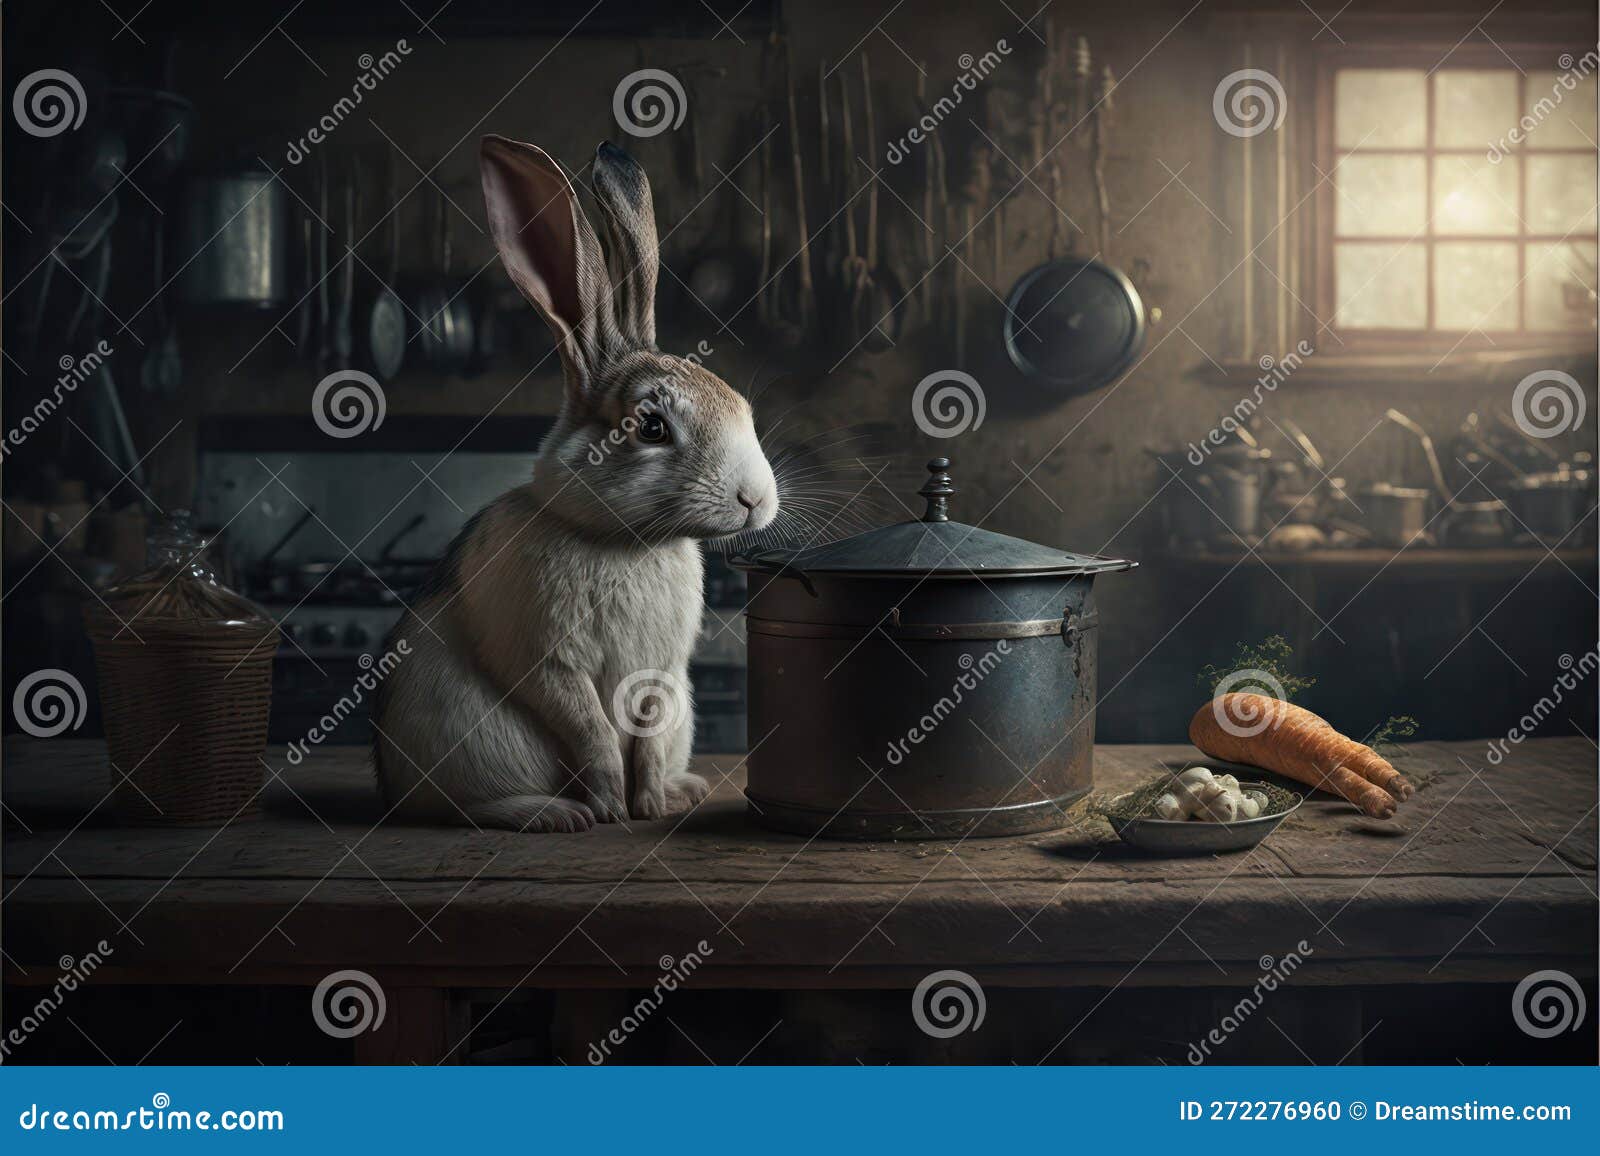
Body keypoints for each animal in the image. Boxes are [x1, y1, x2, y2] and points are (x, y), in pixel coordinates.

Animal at [372, 136, 778, 832]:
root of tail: (390, 785)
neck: (624, 540)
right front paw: (612, 807)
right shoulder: (550, 663)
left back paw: (681, 791)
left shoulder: (661, 672)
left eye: (741, 405)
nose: (754, 499)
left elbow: (646, 732)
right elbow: (590, 729)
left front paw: (647, 805)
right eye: (651, 426)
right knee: (468, 805)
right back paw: (557, 814)